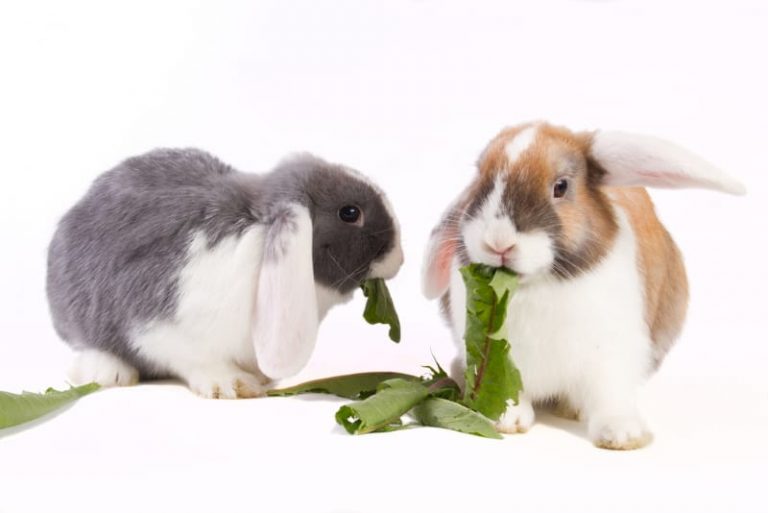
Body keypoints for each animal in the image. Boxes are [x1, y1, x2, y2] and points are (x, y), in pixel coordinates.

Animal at [47, 148, 403, 399]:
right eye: (350, 213)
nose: (399, 258)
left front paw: (259, 379)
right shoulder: (160, 327)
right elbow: (196, 359)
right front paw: (232, 385)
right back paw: (111, 373)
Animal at [422, 122, 744, 449]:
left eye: (561, 186)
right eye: (481, 180)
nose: (498, 242)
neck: (537, 284)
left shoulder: (612, 354)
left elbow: (610, 394)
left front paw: (622, 434)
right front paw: (506, 419)